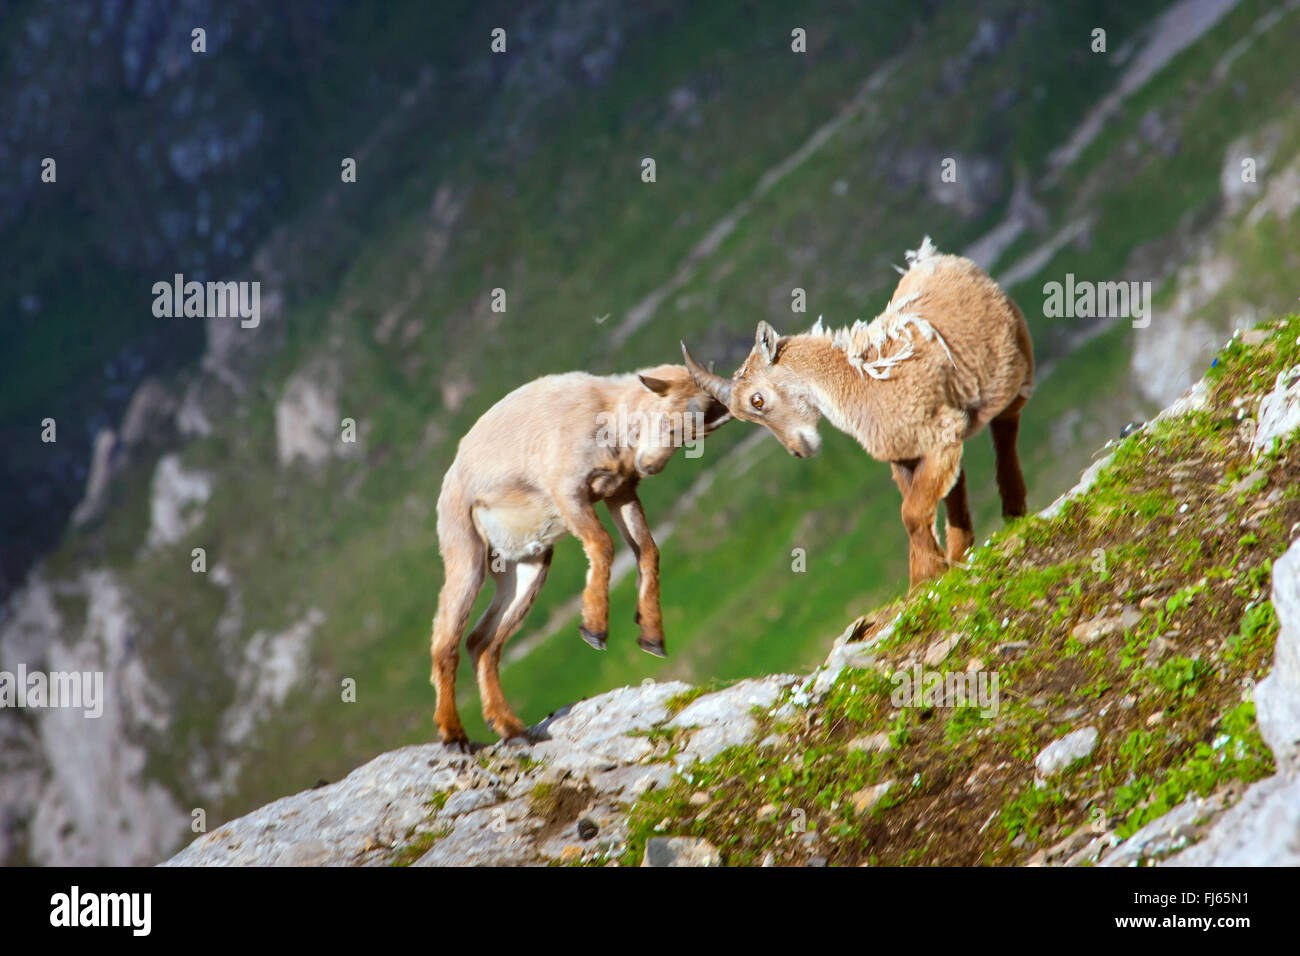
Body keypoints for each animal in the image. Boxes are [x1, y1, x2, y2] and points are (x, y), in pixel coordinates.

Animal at [430, 365, 731, 746]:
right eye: (668, 420)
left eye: (694, 437)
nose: (650, 466)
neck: (608, 417)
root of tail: (450, 479)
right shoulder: (569, 491)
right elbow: (604, 544)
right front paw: (594, 630)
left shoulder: (621, 492)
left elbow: (647, 549)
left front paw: (651, 637)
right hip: (466, 552)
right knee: (447, 642)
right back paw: (454, 734)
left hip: (527, 565)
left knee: (482, 642)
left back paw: (512, 729)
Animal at [682, 237, 1033, 588]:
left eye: (757, 400)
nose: (798, 450)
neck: (862, 383)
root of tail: (933, 258)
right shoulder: (905, 455)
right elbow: (915, 509)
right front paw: (924, 578)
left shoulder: (940, 434)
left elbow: (911, 513)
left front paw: (925, 577)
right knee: (956, 484)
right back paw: (962, 551)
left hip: (1015, 368)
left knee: (1006, 429)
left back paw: (1014, 512)